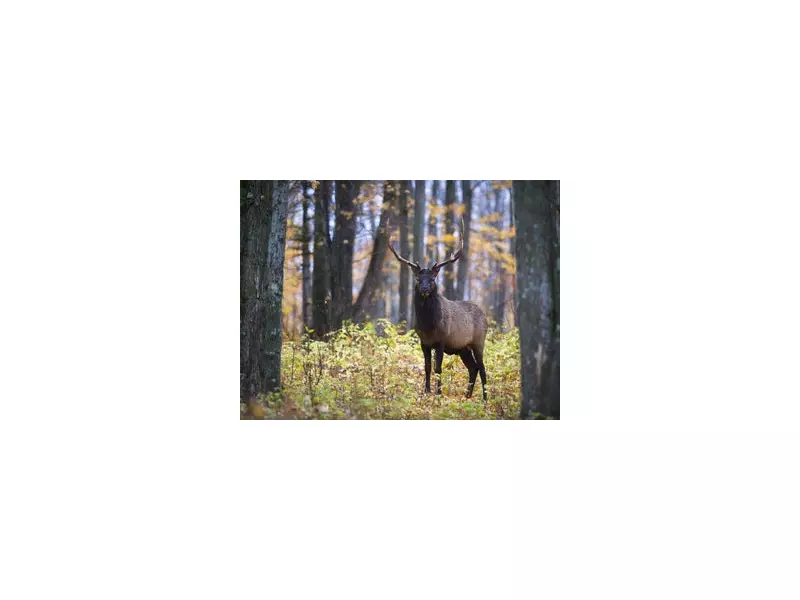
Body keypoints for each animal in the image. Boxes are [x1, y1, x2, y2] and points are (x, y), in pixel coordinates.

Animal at [388, 218, 489, 402]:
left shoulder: (441, 341)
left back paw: (485, 399)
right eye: (418, 278)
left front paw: (439, 393)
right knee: (473, 368)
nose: (424, 288)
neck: (428, 326)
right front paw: (427, 391)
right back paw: (467, 395)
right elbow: (427, 367)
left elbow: (438, 368)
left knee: (482, 367)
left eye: (432, 278)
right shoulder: (423, 342)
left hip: (479, 341)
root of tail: (486, 318)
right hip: (463, 348)